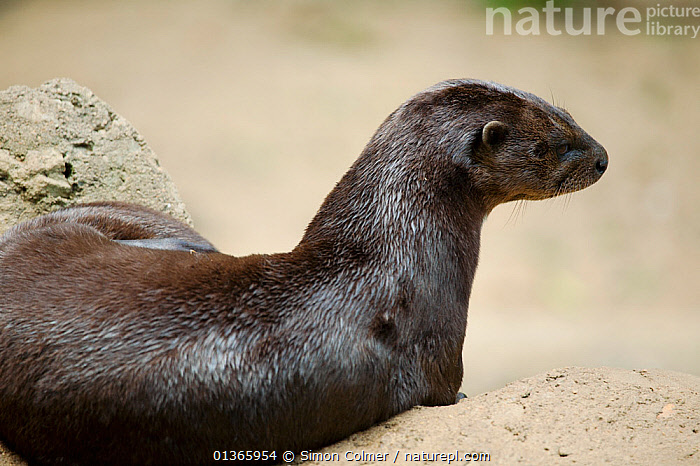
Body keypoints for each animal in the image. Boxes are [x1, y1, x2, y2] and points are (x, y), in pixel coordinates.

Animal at [0, 79, 607, 465]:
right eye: (557, 146)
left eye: (570, 116)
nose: (602, 156)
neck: (400, 249)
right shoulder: (440, 355)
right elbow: (449, 392)